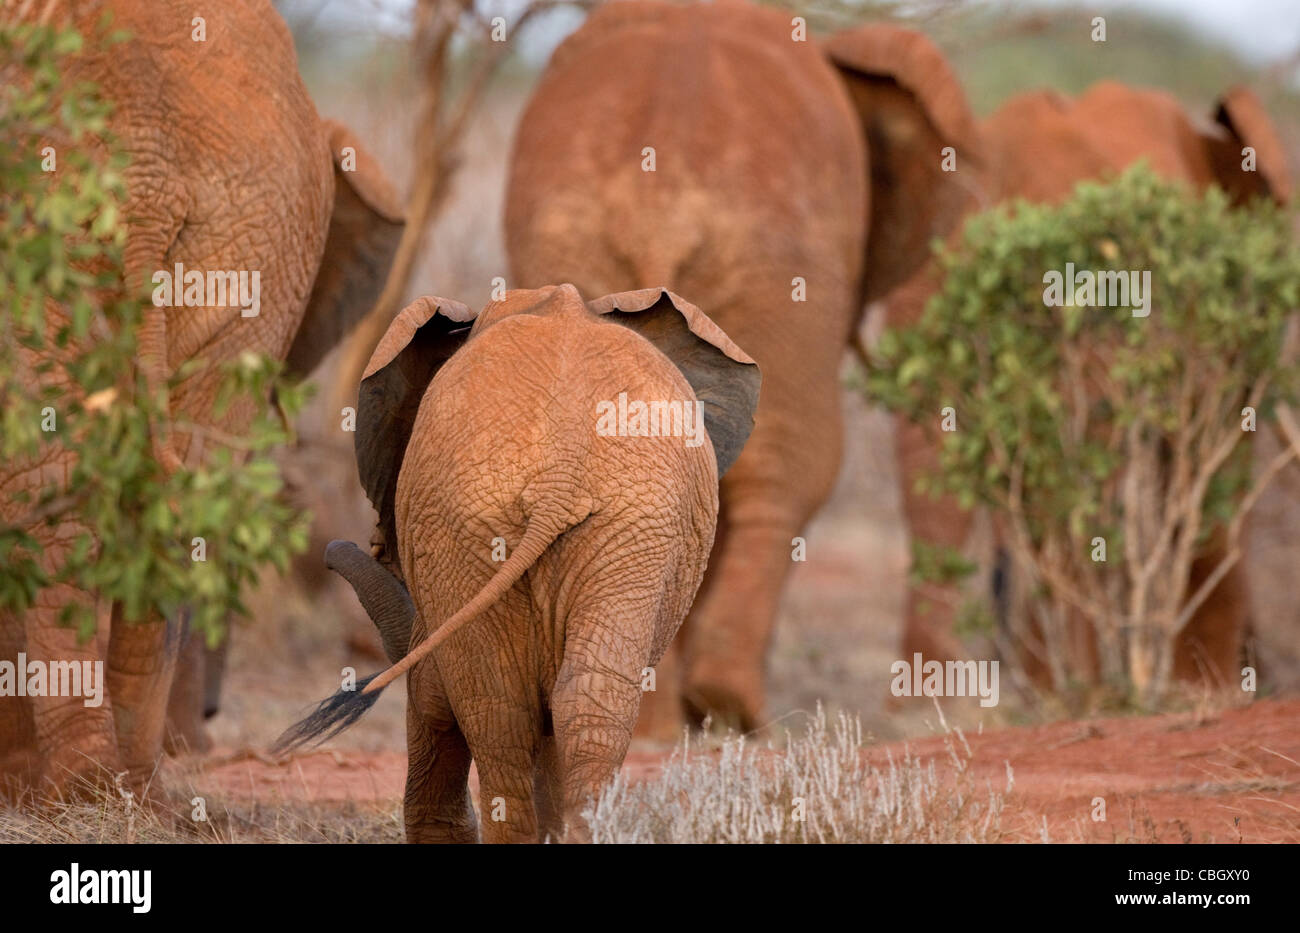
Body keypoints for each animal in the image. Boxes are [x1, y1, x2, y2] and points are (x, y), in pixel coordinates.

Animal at [0, 0, 404, 798]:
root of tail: (145, 165)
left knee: (54, 469)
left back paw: (74, 786)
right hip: (261, 230)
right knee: (189, 472)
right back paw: (128, 783)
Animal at [274, 284, 760, 842]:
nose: (335, 548)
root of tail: (562, 472)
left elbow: (433, 698)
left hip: (521, 526)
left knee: (497, 709)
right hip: (616, 526)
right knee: (573, 701)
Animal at [503, 0, 983, 734]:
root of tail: (662, 190)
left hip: (577, 246)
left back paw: (654, 722)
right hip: (779, 266)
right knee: (794, 459)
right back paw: (730, 708)